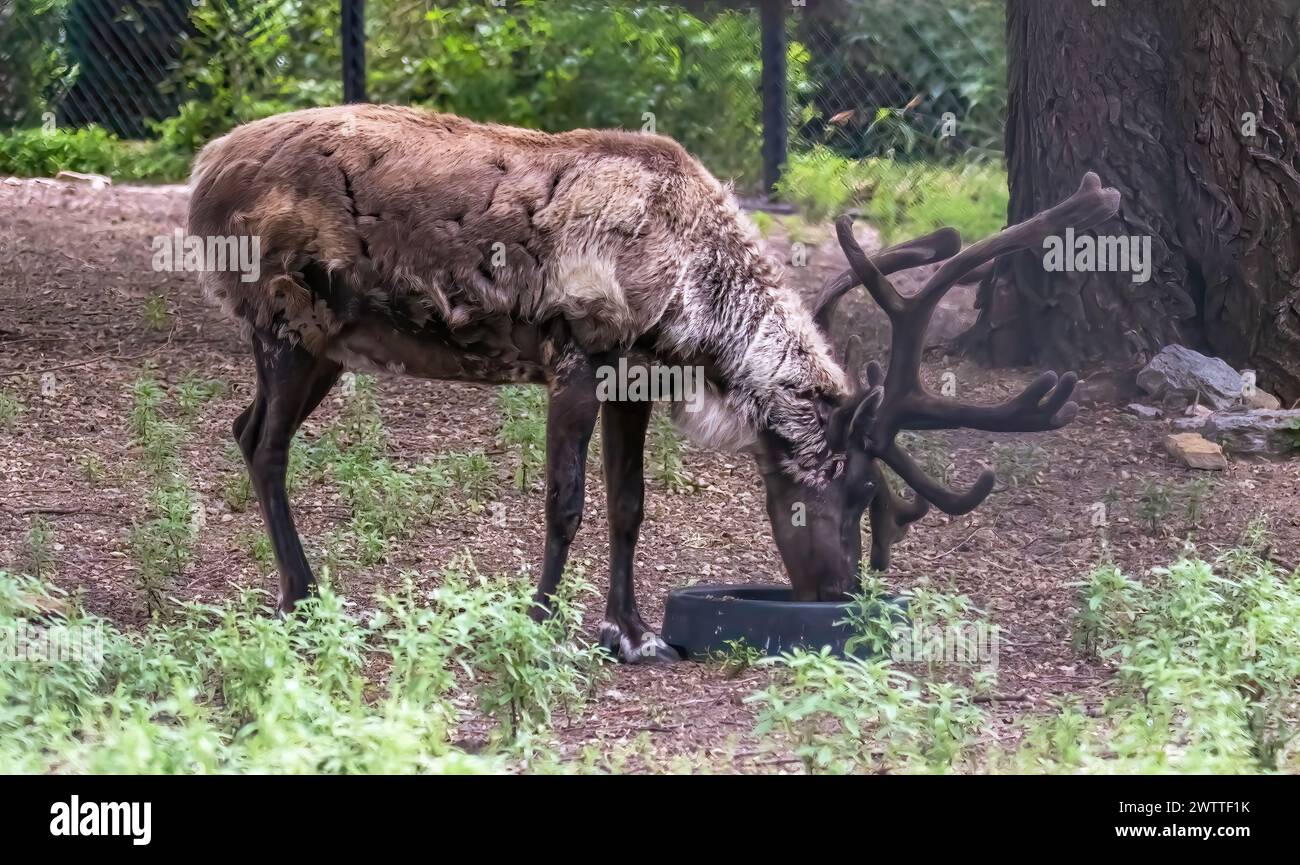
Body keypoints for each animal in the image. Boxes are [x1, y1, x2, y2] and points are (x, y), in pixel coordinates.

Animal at [188, 104, 1120, 662]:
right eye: (857, 490)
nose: (841, 596)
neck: (694, 307)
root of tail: (203, 174)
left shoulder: (635, 380)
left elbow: (631, 505)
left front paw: (632, 632)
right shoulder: (574, 356)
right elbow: (565, 502)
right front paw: (540, 621)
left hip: (326, 347)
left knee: (243, 428)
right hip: (287, 319)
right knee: (267, 446)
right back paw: (304, 595)